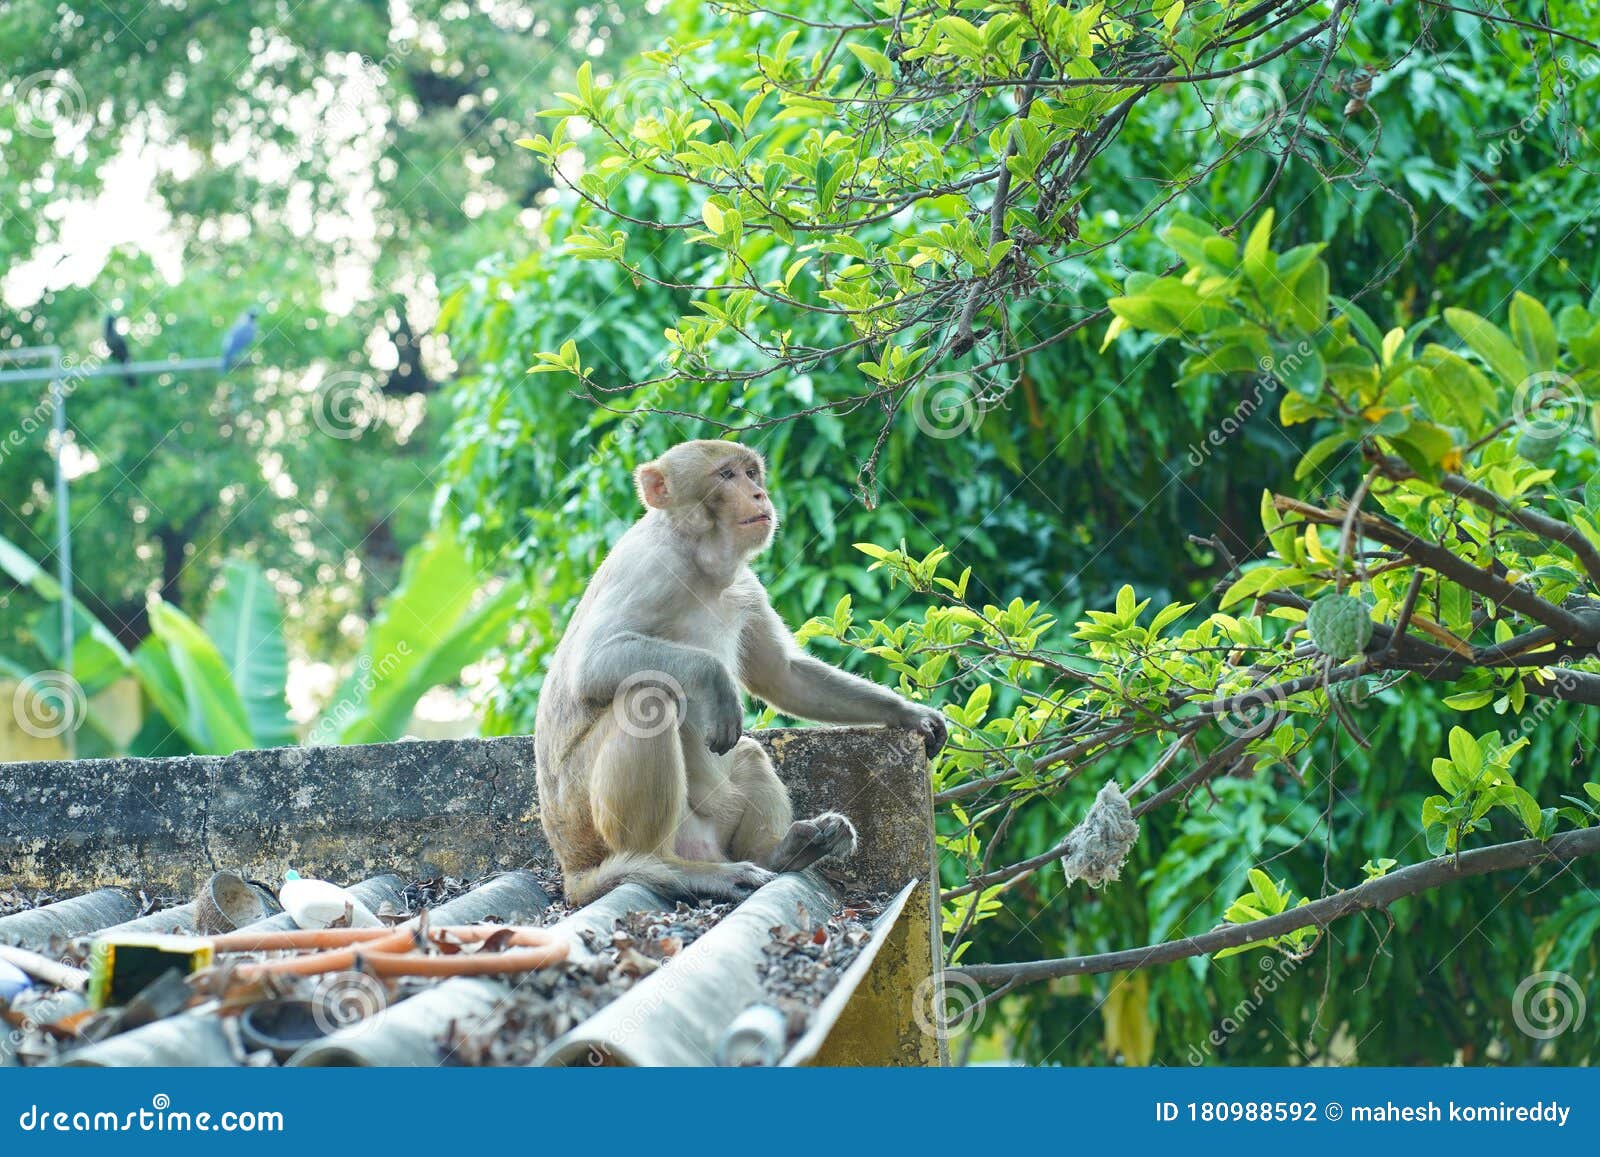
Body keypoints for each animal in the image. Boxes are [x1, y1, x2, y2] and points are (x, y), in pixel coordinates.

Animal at [535, 439, 948, 905]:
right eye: (726, 476)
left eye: (751, 473)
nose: (758, 494)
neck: (699, 558)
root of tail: (572, 868)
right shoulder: (651, 567)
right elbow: (591, 665)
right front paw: (714, 680)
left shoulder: (746, 586)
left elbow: (783, 675)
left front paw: (909, 713)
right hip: (590, 824)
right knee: (647, 697)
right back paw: (671, 868)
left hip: (712, 823)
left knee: (748, 752)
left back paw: (782, 852)